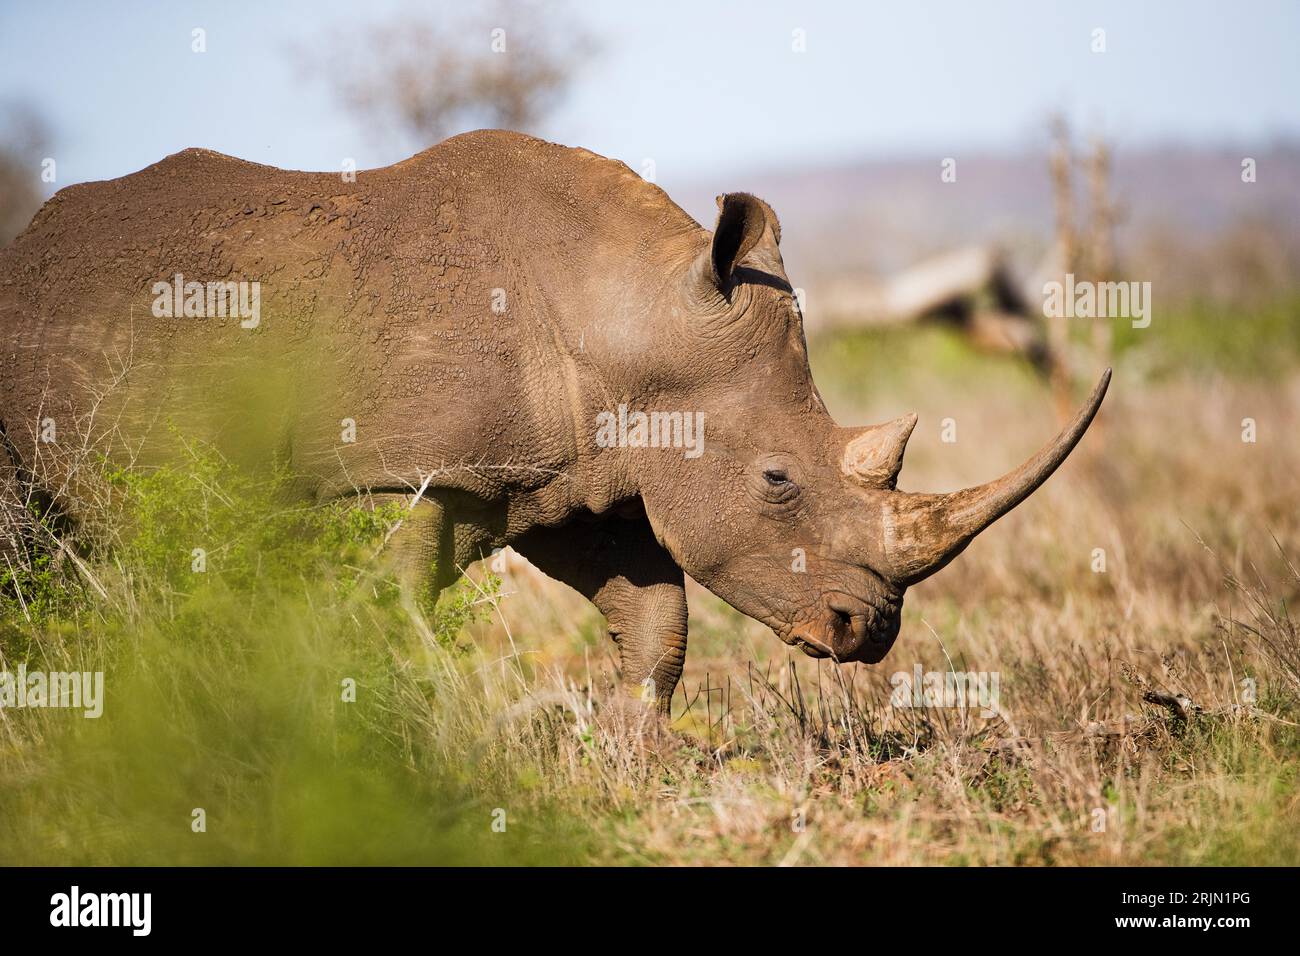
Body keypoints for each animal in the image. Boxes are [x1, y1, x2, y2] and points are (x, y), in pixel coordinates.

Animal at [0, 130, 1108, 712]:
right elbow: (392, 603)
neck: (637, 315)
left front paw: (631, 765)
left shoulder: (571, 481)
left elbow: (656, 625)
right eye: (778, 480)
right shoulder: (400, 468)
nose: (866, 633)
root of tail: (27, 247)